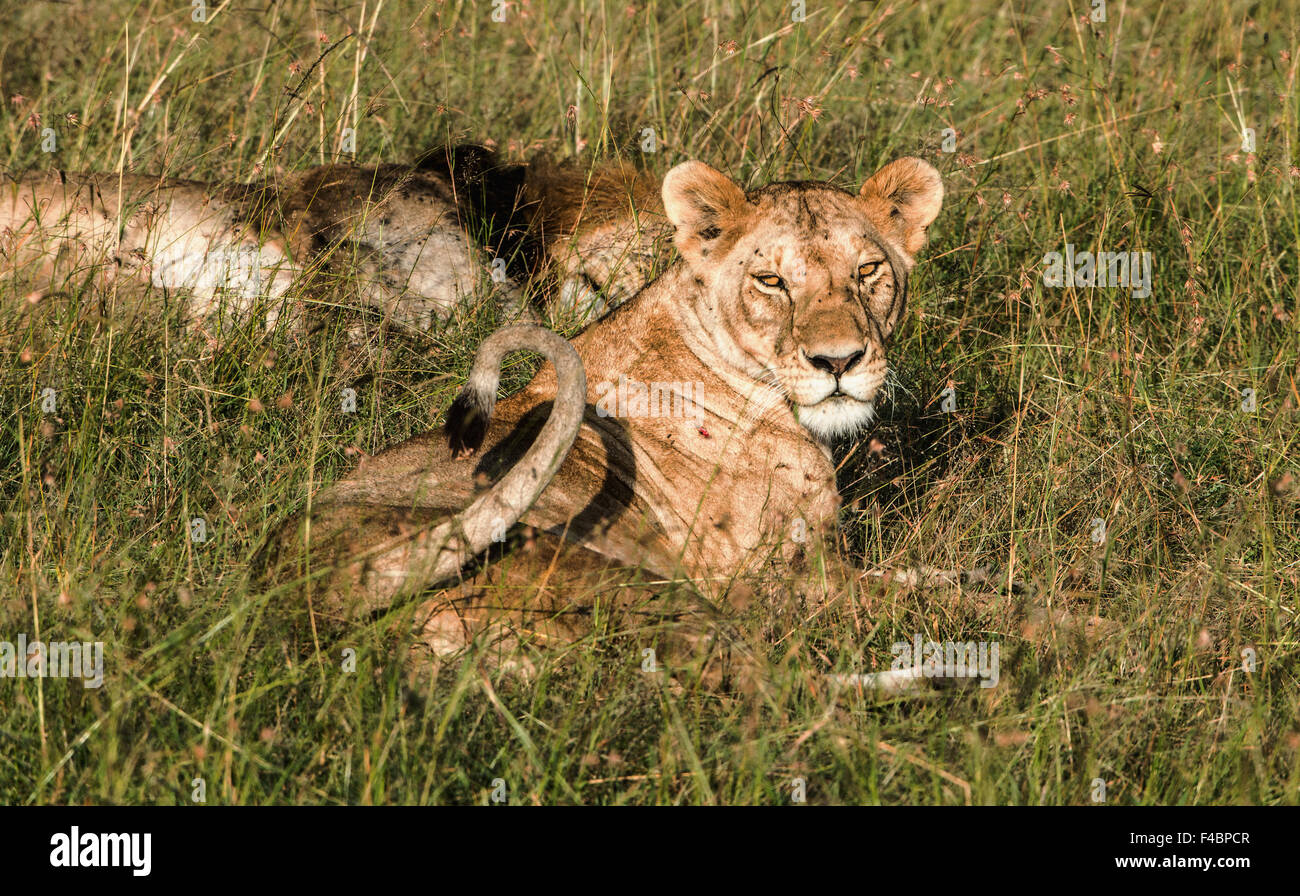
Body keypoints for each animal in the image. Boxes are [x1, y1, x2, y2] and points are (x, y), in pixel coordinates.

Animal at [259, 155, 946, 675]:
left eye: (868, 270)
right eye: (771, 281)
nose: (840, 360)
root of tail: (304, 583)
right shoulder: (790, 576)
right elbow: (944, 587)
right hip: (651, 591)